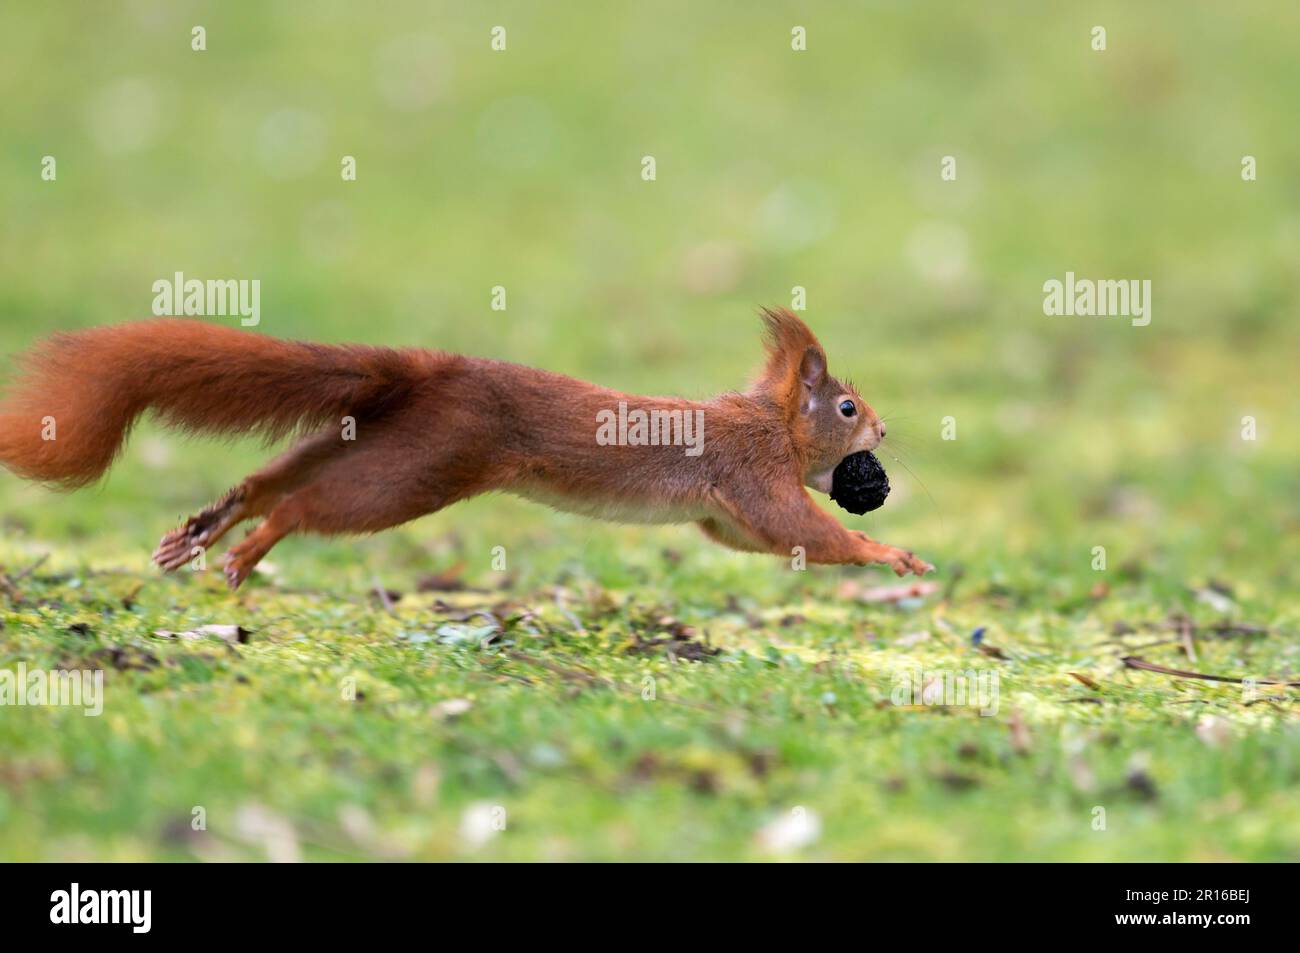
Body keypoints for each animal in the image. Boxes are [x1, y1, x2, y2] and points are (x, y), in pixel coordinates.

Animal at [0, 308, 933, 589]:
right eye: (848, 406)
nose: (885, 434)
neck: (770, 422)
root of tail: (434, 371)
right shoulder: (754, 474)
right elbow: (802, 532)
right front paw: (893, 555)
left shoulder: (723, 513)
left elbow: (751, 538)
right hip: (421, 467)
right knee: (306, 504)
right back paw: (249, 550)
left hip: (378, 440)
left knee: (272, 479)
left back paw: (204, 531)